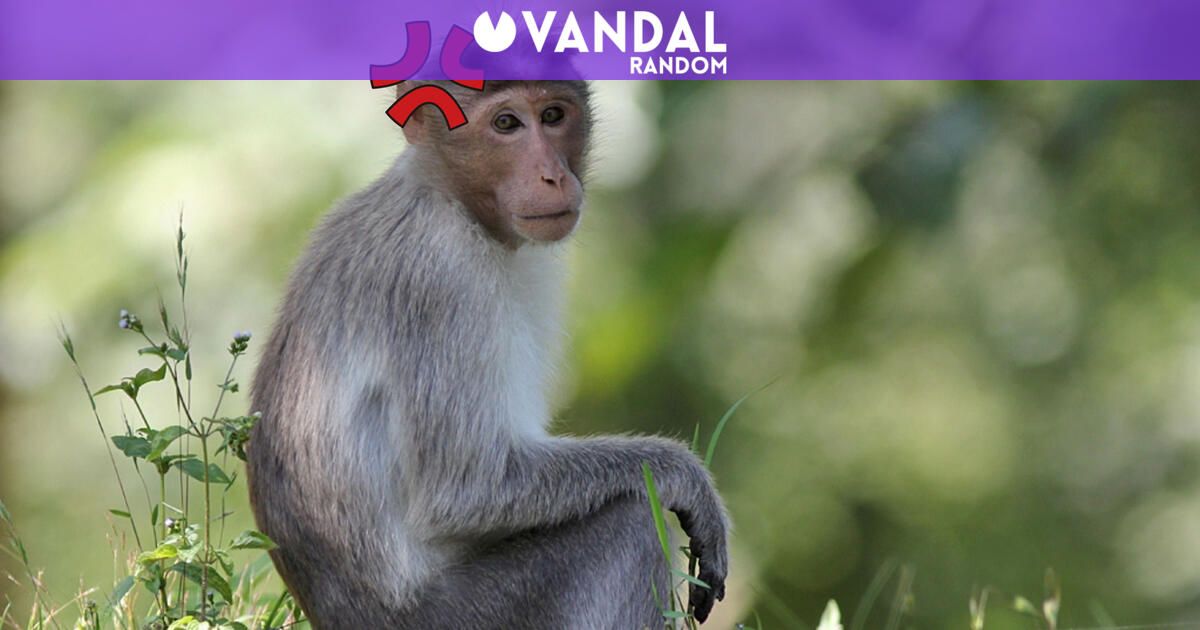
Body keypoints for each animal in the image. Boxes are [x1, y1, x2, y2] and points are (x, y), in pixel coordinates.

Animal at [246, 81, 729, 630]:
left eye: (553, 115)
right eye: (505, 124)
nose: (553, 175)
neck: (448, 196)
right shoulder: (442, 276)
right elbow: (466, 489)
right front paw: (687, 477)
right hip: (468, 615)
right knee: (628, 522)